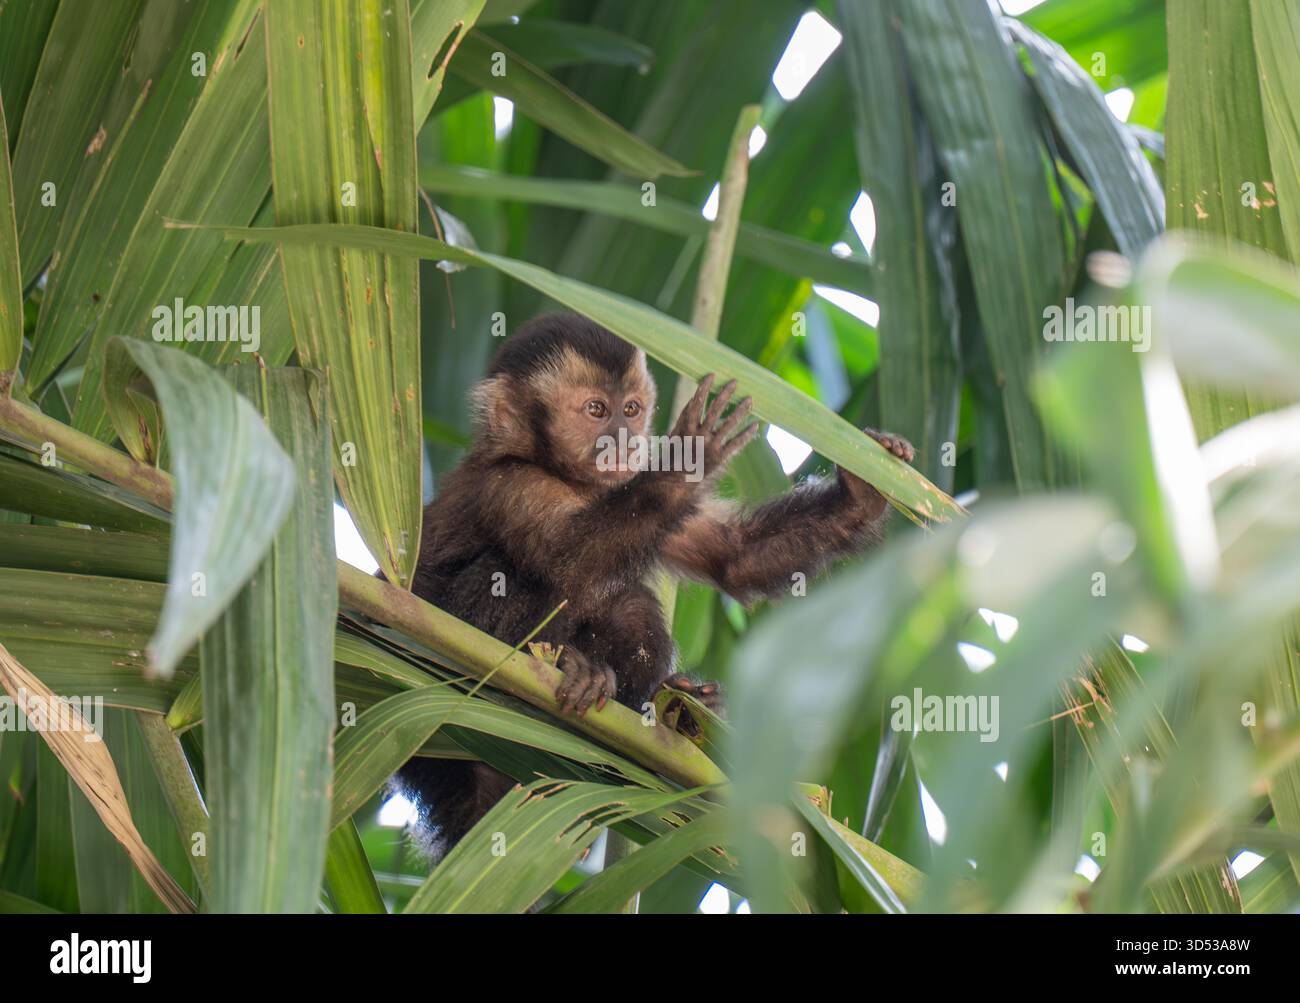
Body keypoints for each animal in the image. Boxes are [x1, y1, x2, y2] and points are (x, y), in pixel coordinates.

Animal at [392, 312, 915, 857]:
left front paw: (862, 495)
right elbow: (567, 561)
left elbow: (734, 556)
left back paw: (671, 707)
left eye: (631, 409)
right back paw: (565, 668)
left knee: (631, 607)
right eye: (596, 411)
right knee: (509, 576)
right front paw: (693, 456)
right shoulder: (510, 485)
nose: (624, 440)